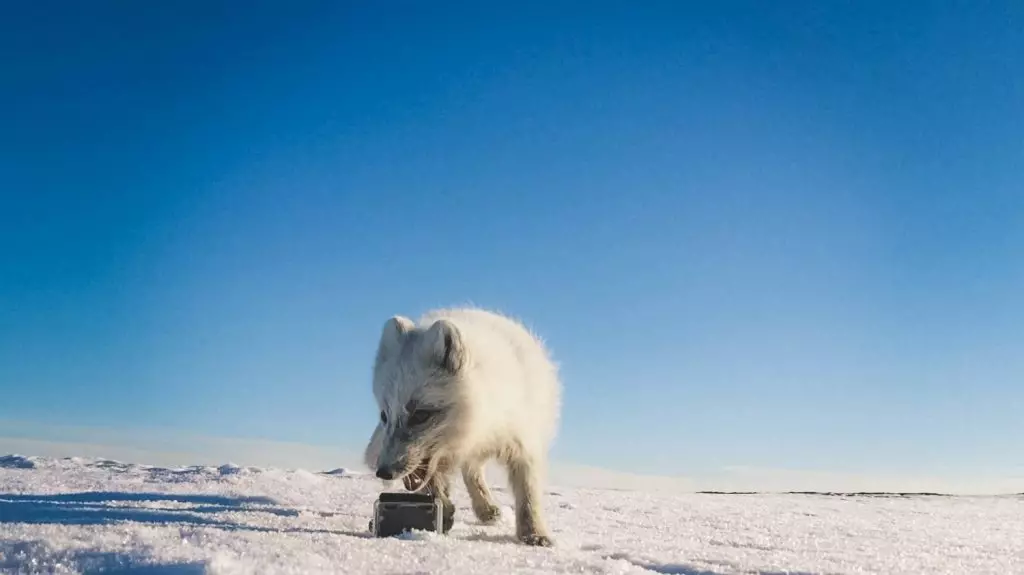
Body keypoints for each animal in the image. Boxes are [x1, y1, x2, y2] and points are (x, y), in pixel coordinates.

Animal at [364, 306, 565, 544]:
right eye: (384, 416)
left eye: (421, 415)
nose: (383, 472)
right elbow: (435, 487)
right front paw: (443, 511)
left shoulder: (523, 441)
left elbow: (528, 494)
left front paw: (534, 534)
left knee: (472, 472)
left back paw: (487, 509)